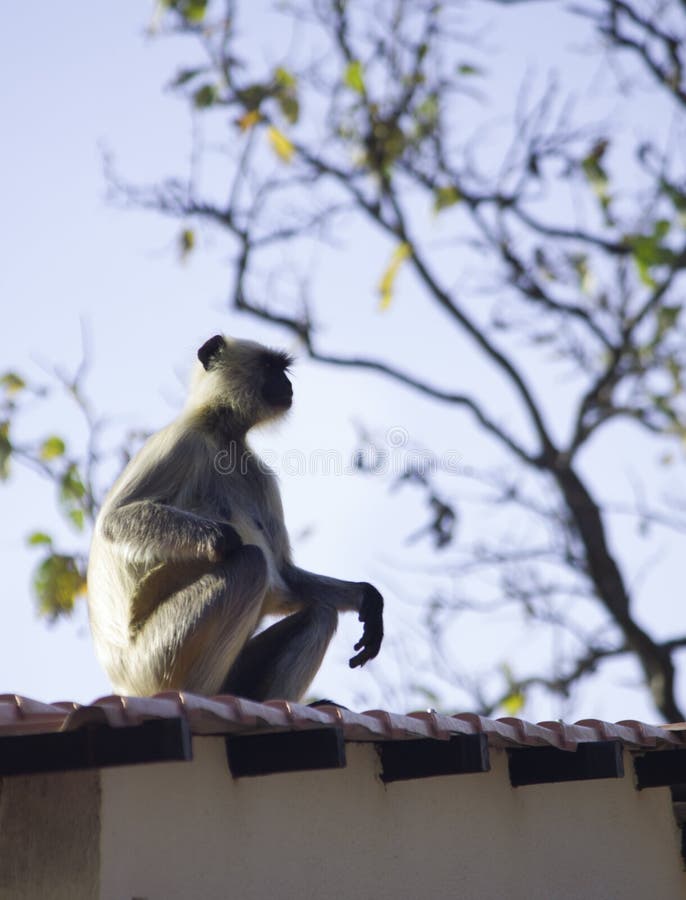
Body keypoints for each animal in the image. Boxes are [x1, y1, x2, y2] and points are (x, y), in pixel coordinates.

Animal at [87, 334, 384, 702]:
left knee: (320, 611)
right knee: (251, 563)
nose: (287, 385)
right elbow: (114, 520)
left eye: (283, 370)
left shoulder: (258, 473)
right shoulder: (182, 440)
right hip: (155, 658)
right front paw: (218, 538)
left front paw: (367, 598)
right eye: (270, 366)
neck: (222, 434)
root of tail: (124, 683)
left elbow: (286, 573)